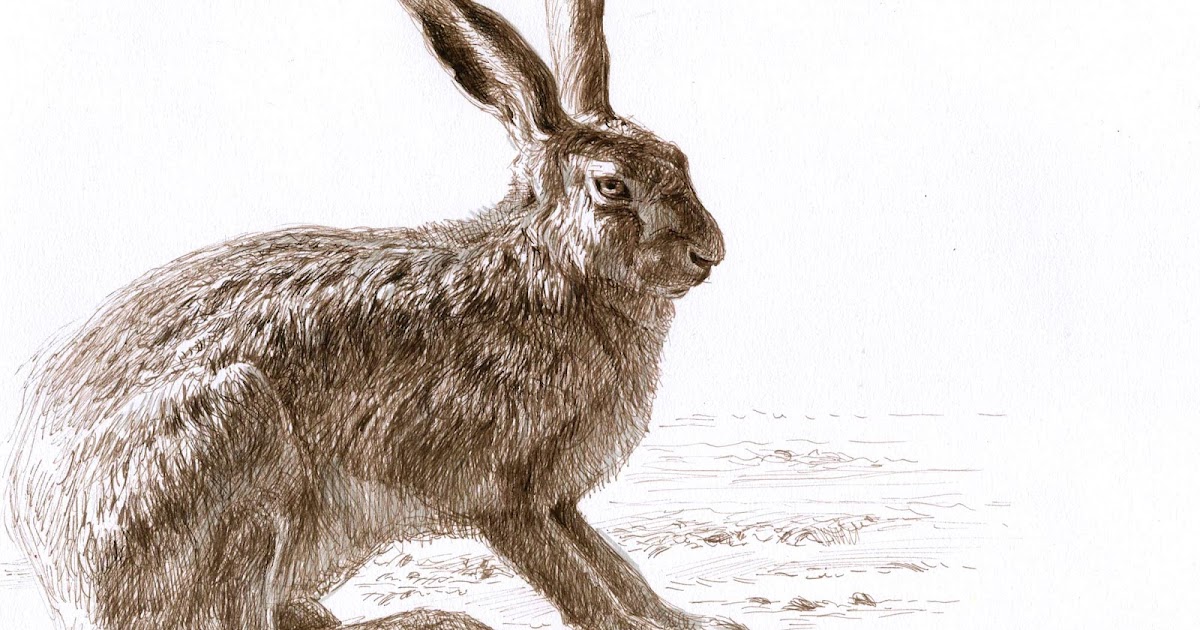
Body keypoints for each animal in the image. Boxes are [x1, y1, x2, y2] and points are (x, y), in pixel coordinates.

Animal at [6, 0, 742, 629]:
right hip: (237, 445)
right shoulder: (502, 496)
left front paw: (687, 620)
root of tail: (61, 579)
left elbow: (610, 563)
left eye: (679, 157)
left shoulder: (557, 501)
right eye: (612, 186)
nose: (710, 253)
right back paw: (429, 619)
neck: (552, 266)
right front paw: (633, 623)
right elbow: (575, 581)